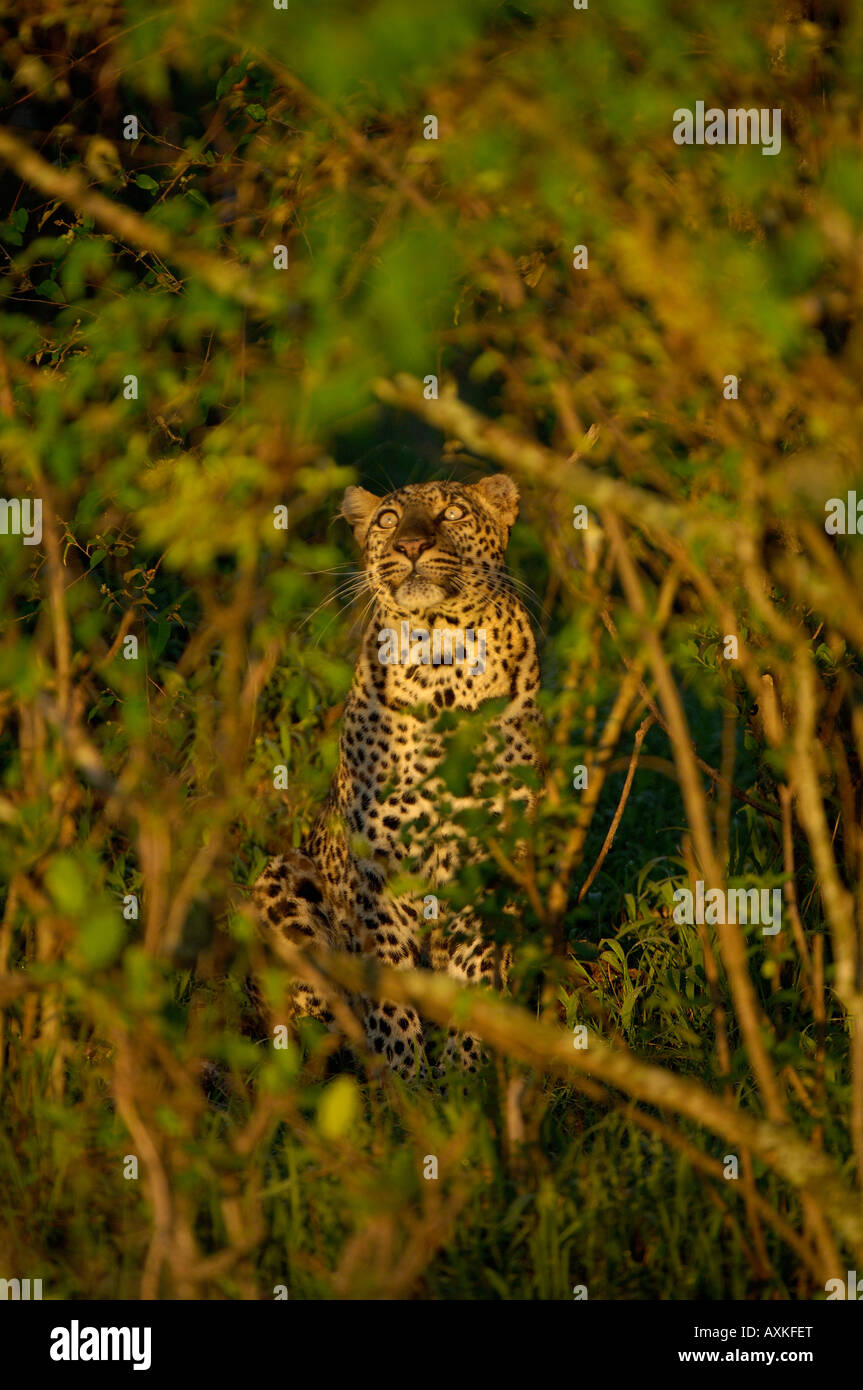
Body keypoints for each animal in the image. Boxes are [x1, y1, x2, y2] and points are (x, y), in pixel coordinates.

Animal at [252, 473, 543, 1076]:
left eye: (453, 512)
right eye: (387, 520)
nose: (409, 545)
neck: (442, 669)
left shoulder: (491, 862)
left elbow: (475, 978)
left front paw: (466, 1076)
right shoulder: (375, 872)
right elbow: (389, 987)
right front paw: (406, 1077)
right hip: (282, 874)